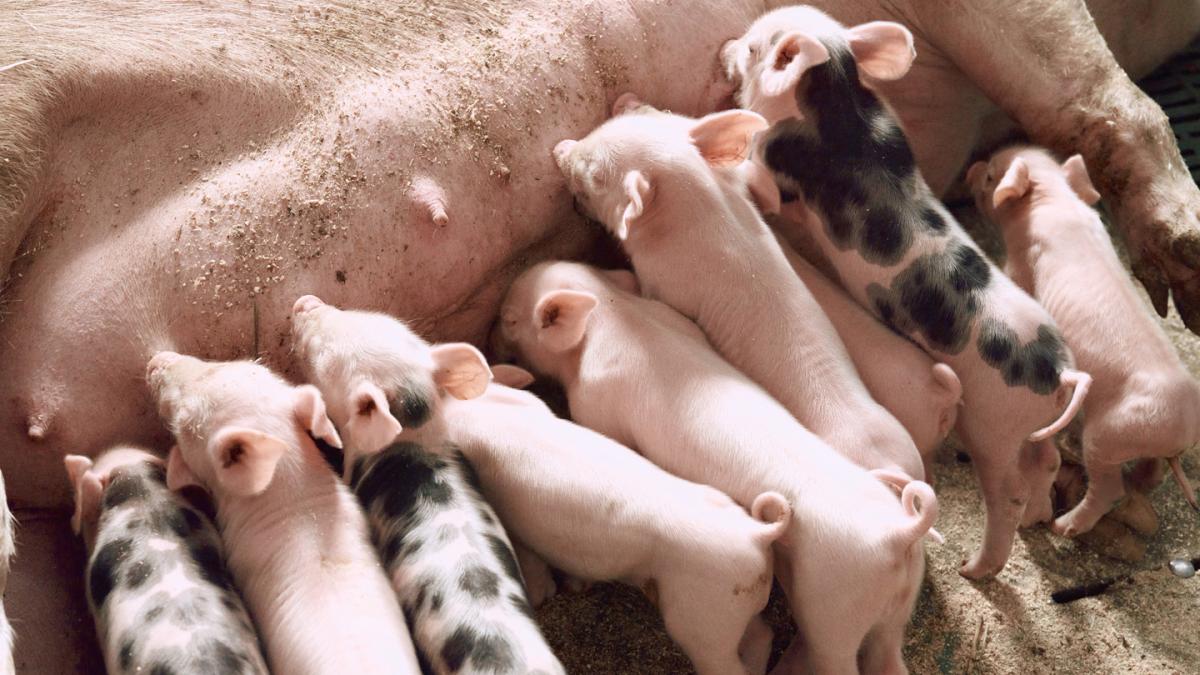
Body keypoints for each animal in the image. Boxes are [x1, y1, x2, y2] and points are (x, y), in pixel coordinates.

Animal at [495, 260, 941, 675]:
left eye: (511, 319)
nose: (491, 338)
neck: (614, 311)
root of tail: (896, 535)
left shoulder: (596, 406)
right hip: (898, 605)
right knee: (889, 658)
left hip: (832, 607)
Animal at [554, 103, 927, 485]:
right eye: (659, 115)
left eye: (596, 175)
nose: (560, 148)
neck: (699, 208)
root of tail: (901, 466)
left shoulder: (664, 284)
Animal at [722, 7, 1092, 578]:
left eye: (755, 48)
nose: (725, 46)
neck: (838, 101)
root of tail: (1058, 371)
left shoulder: (779, 160)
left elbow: (762, 182)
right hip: (1036, 429)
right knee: (1048, 460)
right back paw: (1036, 520)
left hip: (994, 428)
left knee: (1005, 492)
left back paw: (973, 568)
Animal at [968, 145, 1200, 537]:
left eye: (990, 177)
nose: (971, 168)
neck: (1052, 196)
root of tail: (1182, 427)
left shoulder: (1020, 265)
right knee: (1151, 475)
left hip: (1107, 436)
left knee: (1108, 489)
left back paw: (1063, 527)